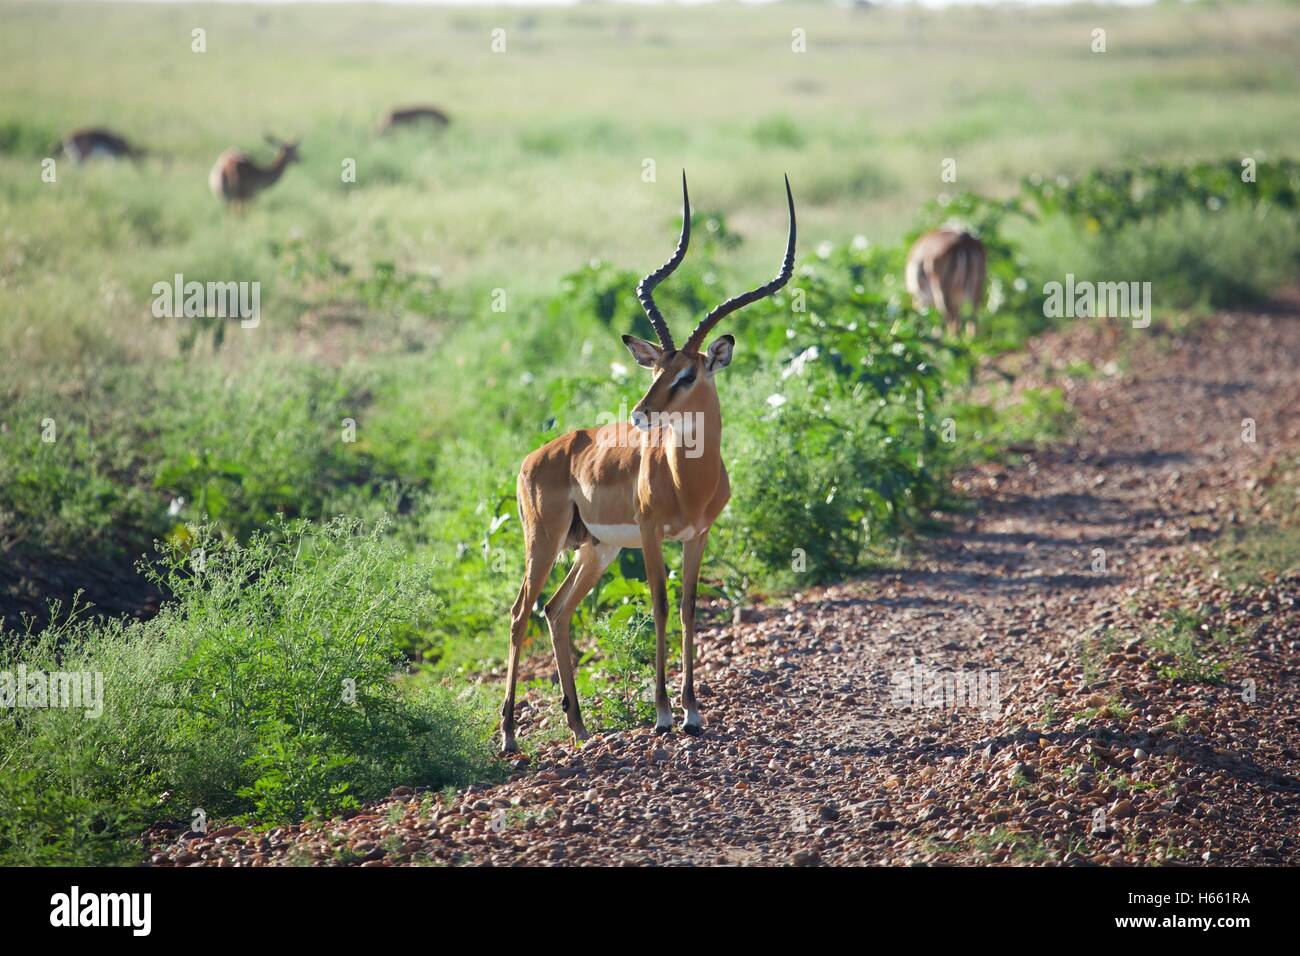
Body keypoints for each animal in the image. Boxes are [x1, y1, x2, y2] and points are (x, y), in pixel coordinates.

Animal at [499, 172, 796, 753]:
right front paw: (662, 713)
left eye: (688, 374)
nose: (640, 413)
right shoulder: (653, 532)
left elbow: (686, 606)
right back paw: (508, 738)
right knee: (522, 612)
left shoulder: (697, 535)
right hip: (543, 541)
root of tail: (535, 457)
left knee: (556, 610)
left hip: (596, 549)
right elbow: (658, 605)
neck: (690, 482)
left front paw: (692, 711)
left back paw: (579, 727)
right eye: (657, 368)